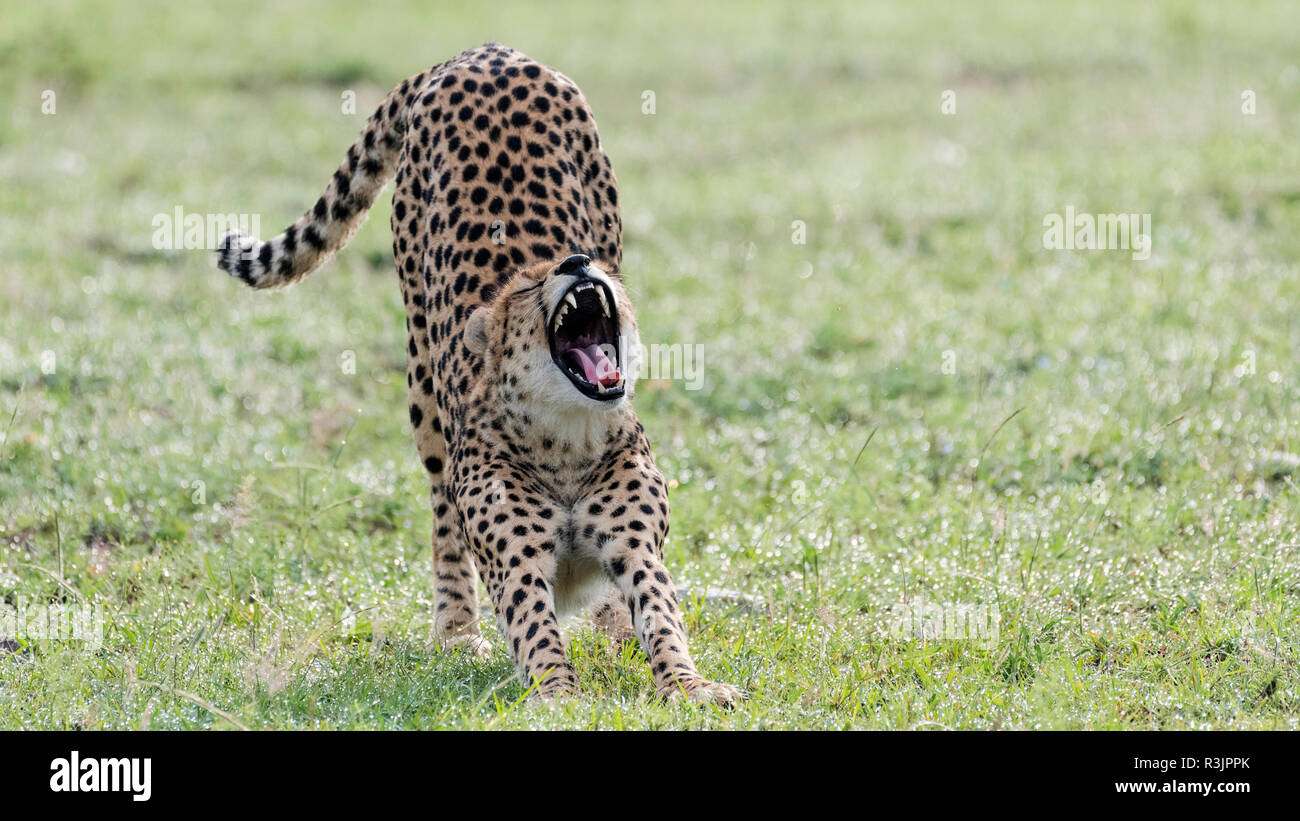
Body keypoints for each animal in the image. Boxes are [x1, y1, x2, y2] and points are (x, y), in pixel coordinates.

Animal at [214, 43, 740, 705]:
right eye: (530, 288)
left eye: (578, 266)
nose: (578, 261)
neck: (567, 435)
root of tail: (481, 53)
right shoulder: (517, 564)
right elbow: (536, 629)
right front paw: (558, 695)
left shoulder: (637, 550)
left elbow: (662, 617)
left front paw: (690, 685)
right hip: (421, 376)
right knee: (442, 512)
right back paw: (457, 629)